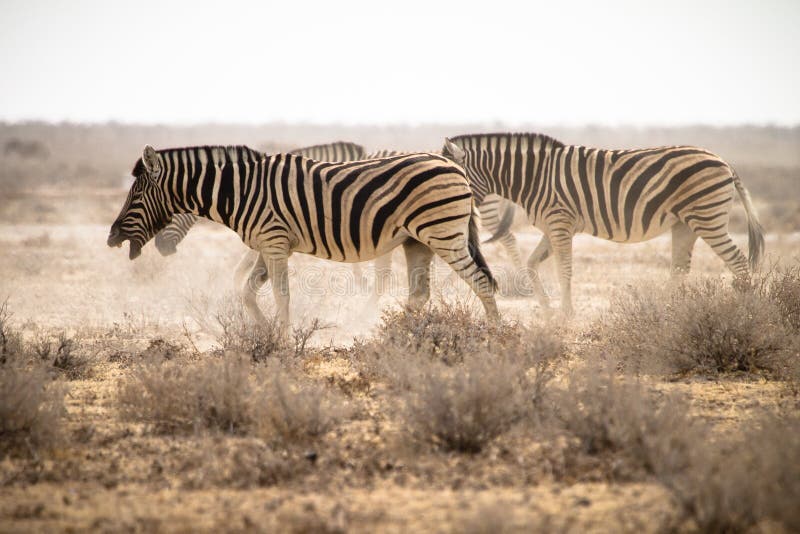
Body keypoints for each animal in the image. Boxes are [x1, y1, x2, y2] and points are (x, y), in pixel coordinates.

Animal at [108, 145, 499, 329]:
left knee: (481, 282)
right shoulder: (267, 245)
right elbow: (247, 292)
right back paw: (392, 335)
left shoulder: (275, 243)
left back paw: (496, 337)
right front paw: (265, 333)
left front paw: (281, 342)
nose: (111, 238)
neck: (240, 191)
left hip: (443, 233)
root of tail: (453, 164)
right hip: (416, 240)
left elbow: (282, 296)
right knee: (419, 294)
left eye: (136, 196)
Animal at [442, 133, 765, 314]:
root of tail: (723, 160)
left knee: (738, 262)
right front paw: (547, 312)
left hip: (707, 218)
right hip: (685, 225)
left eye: (456, 176)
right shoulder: (553, 227)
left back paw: (747, 312)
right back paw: (670, 312)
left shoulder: (560, 222)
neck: (532, 176)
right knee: (680, 270)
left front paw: (566, 315)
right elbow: (532, 266)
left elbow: (564, 270)